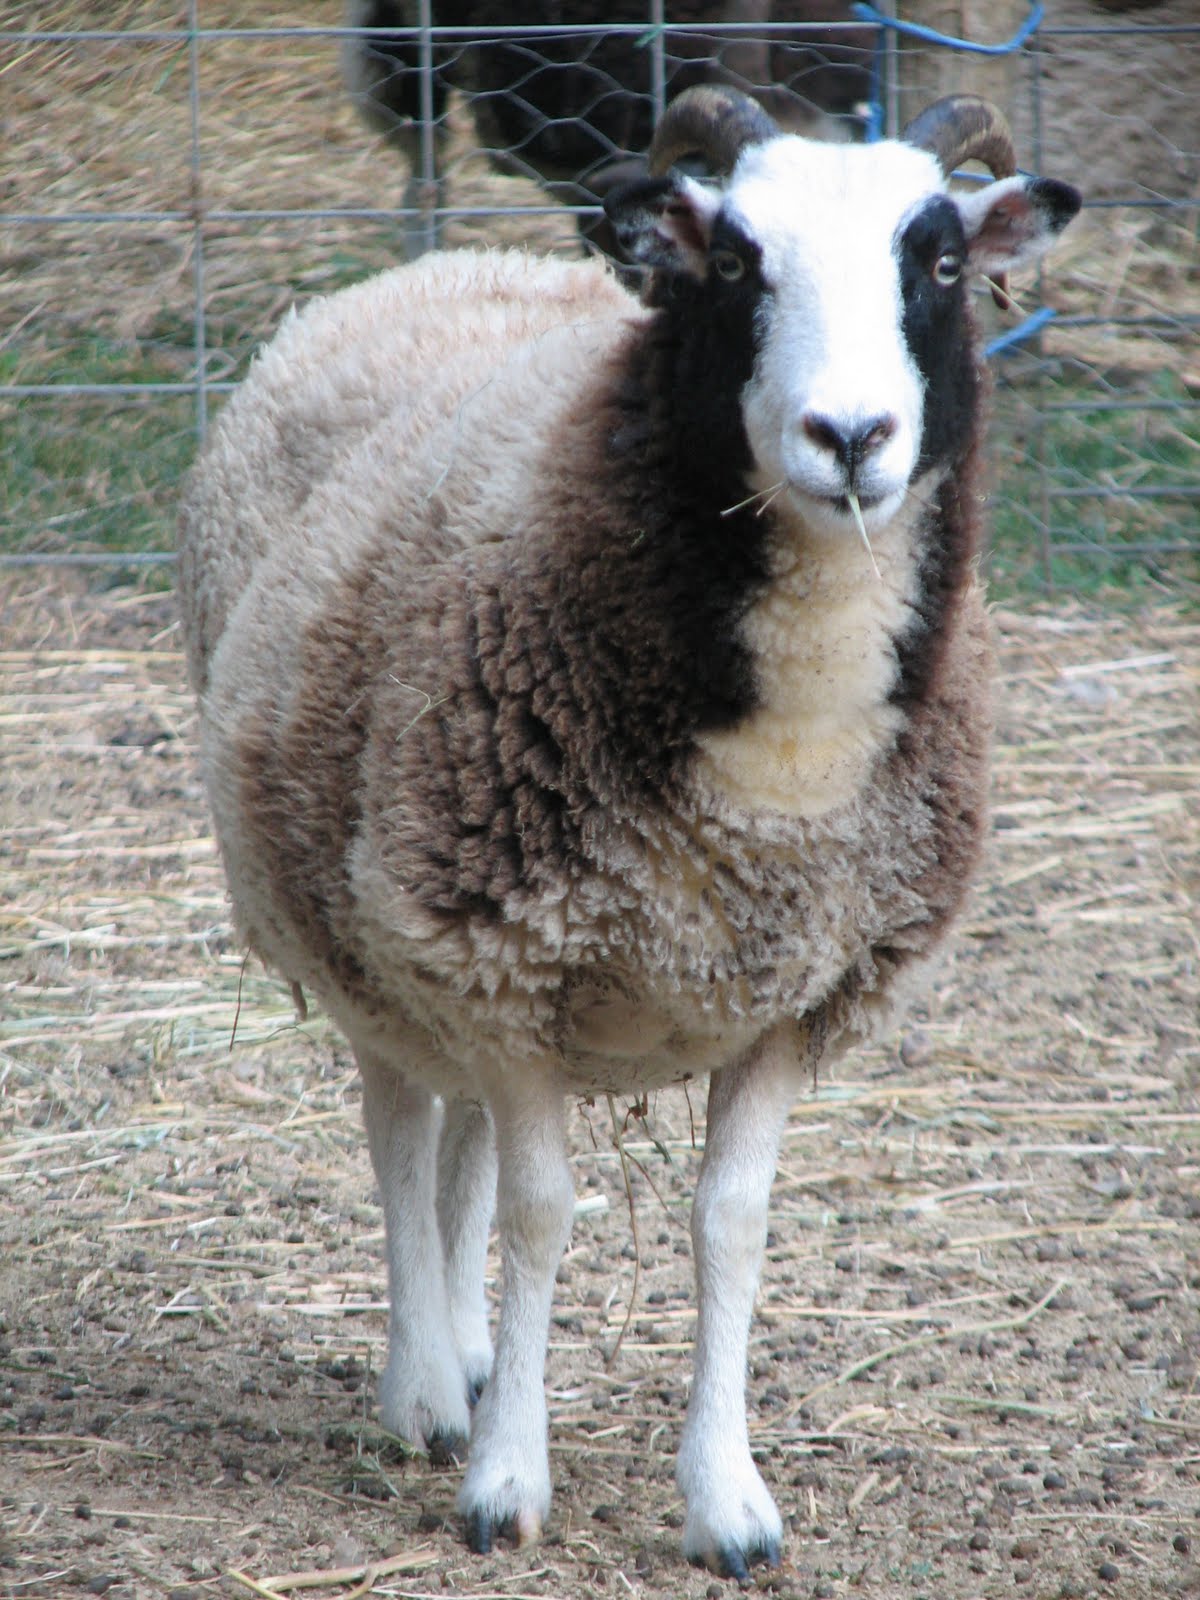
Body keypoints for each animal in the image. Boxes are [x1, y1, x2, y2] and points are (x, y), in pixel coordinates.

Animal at [176, 85, 1080, 1576]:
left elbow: (731, 1224)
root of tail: (449, 260)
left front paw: (728, 1502)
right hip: (365, 915)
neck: (778, 771)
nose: (850, 438)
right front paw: (505, 1487)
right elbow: (543, 1213)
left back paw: (473, 1361)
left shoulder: (791, 995)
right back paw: (426, 1390)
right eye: (734, 263)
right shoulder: (499, 948)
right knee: (404, 1129)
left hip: (457, 962)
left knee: (461, 1143)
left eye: (940, 260)